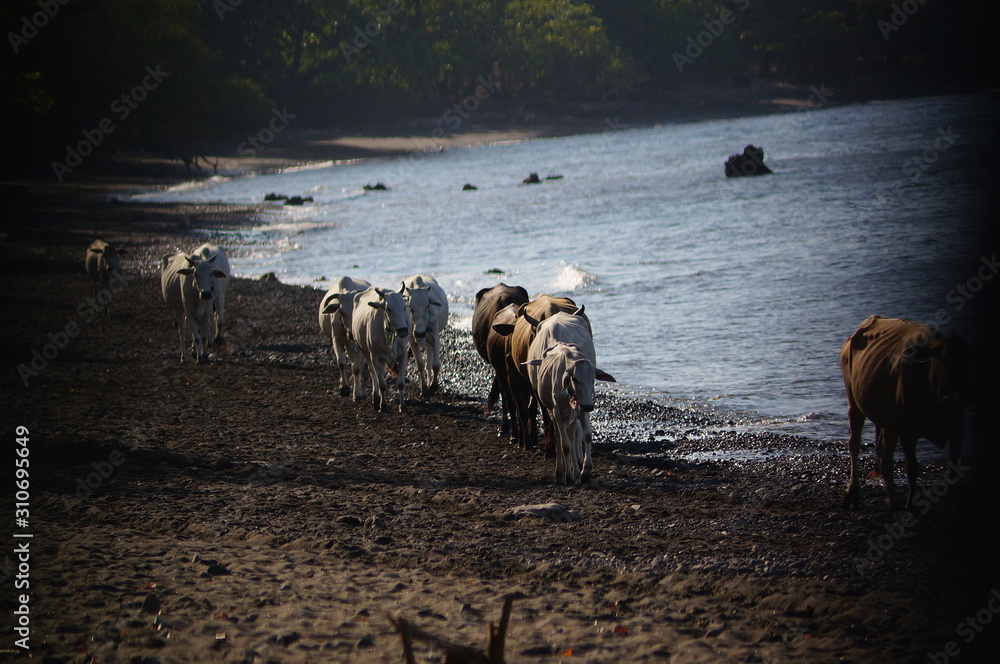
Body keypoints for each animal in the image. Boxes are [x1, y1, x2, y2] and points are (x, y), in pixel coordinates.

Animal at [526, 341, 615, 484]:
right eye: (576, 379)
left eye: (593, 379)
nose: (589, 406)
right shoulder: (558, 413)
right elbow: (565, 445)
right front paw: (568, 475)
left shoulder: (582, 412)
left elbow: (587, 436)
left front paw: (585, 471)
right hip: (552, 412)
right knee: (560, 437)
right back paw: (561, 473)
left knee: (572, 437)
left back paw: (577, 474)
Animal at [841, 315, 968, 511]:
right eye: (942, 360)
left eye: (967, 362)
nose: (959, 396)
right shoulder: (907, 431)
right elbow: (912, 469)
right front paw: (911, 504)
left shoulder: (956, 429)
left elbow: (955, 469)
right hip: (854, 402)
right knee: (855, 444)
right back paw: (853, 493)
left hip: (887, 420)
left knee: (884, 455)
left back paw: (893, 500)